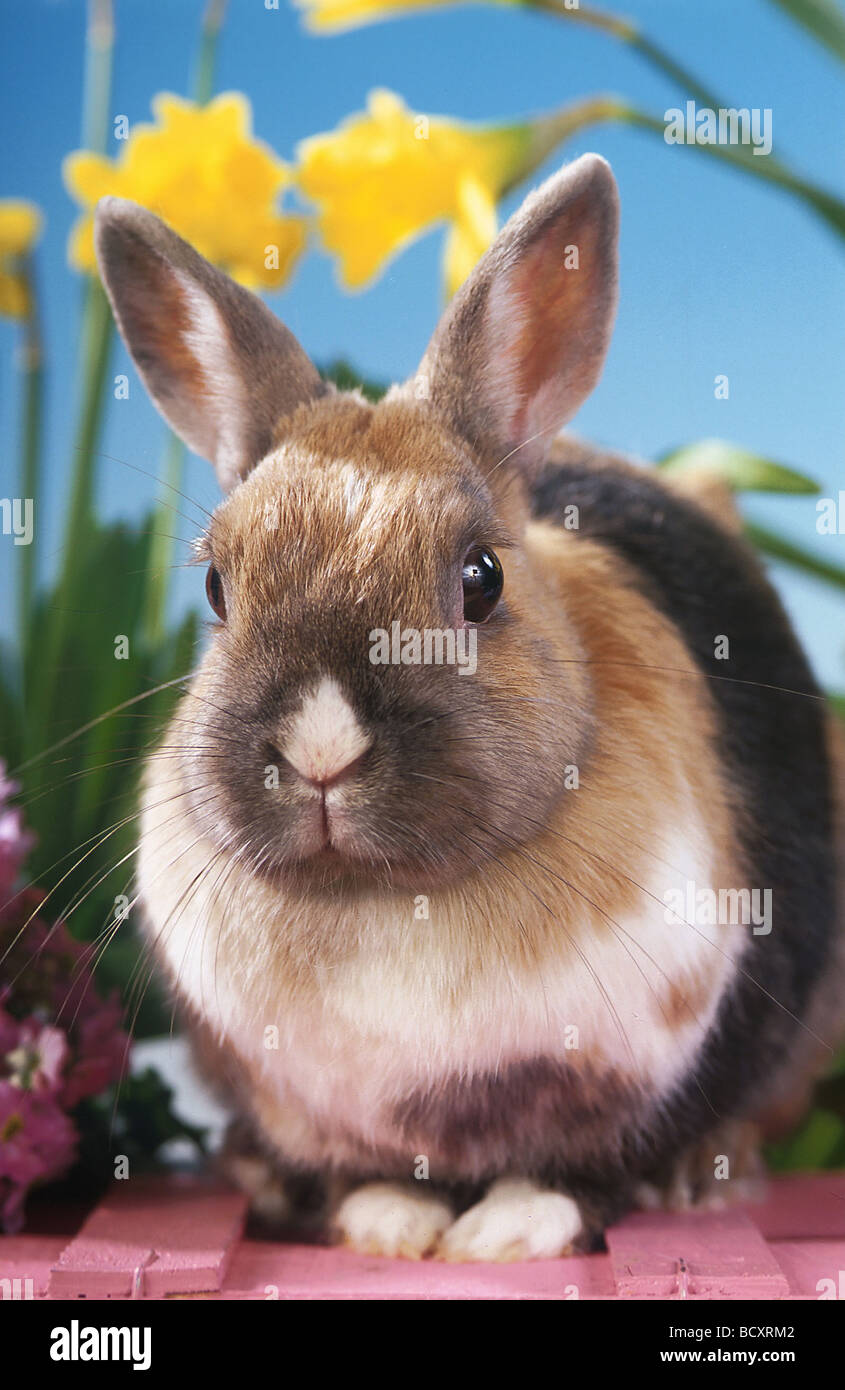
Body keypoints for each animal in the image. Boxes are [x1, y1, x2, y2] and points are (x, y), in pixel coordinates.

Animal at [93, 154, 845, 1262]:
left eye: (481, 579)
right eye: (218, 589)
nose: (321, 748)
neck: (381, 901)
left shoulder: (642, 1069)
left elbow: (586, 1164)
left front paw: (506, 1232)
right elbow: (362, 1167)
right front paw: (387, 1220)